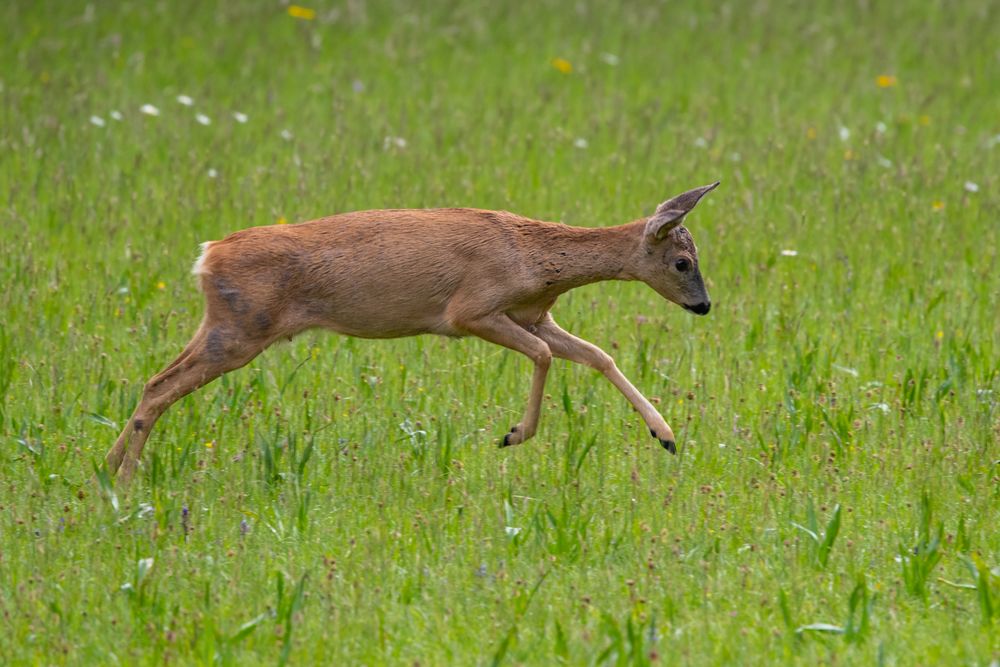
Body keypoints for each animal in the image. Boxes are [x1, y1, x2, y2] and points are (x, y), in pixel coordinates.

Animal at [103, 182, 719, 482]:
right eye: (683, 261)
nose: (705, 305)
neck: (535, 259)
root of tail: (207, 256)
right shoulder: (472, 312)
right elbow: (545, 356)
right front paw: (513, 435)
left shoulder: (534, 314)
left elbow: (597, 357)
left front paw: (665, 435)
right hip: (239, 332)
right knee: (161, 387)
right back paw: (125, 478)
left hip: (222, 326)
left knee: (153, 381)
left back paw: (106, 469)